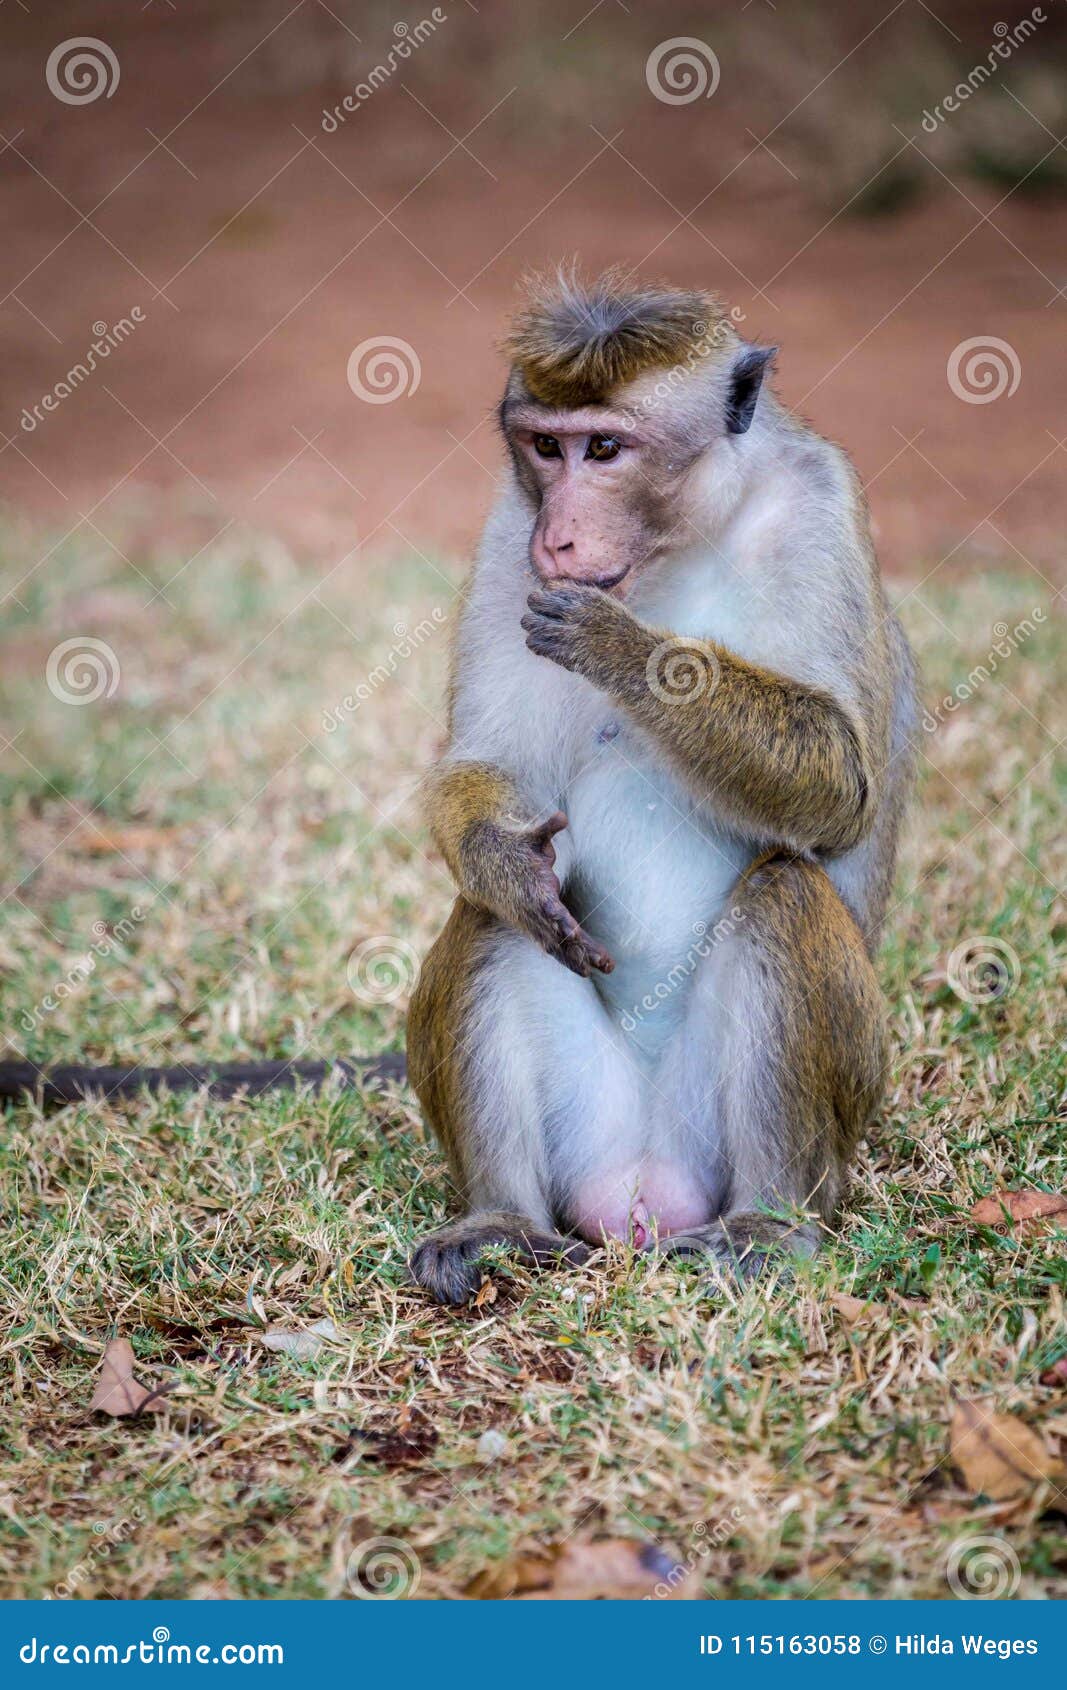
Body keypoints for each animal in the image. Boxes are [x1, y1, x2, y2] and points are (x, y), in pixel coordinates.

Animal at [405, 269, 916, 1305]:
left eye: (604, 448)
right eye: (545, 447)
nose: (560, 536)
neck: (681, 542)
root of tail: (642, 1191)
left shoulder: (821, 504)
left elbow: (840, 779)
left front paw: (620, 649)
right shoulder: (508, 526)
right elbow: (489, 765)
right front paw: (505, 859)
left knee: (785, 893)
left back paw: (767, 1224)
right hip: (590, 1125)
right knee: (493, 918)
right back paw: (498, 1223)